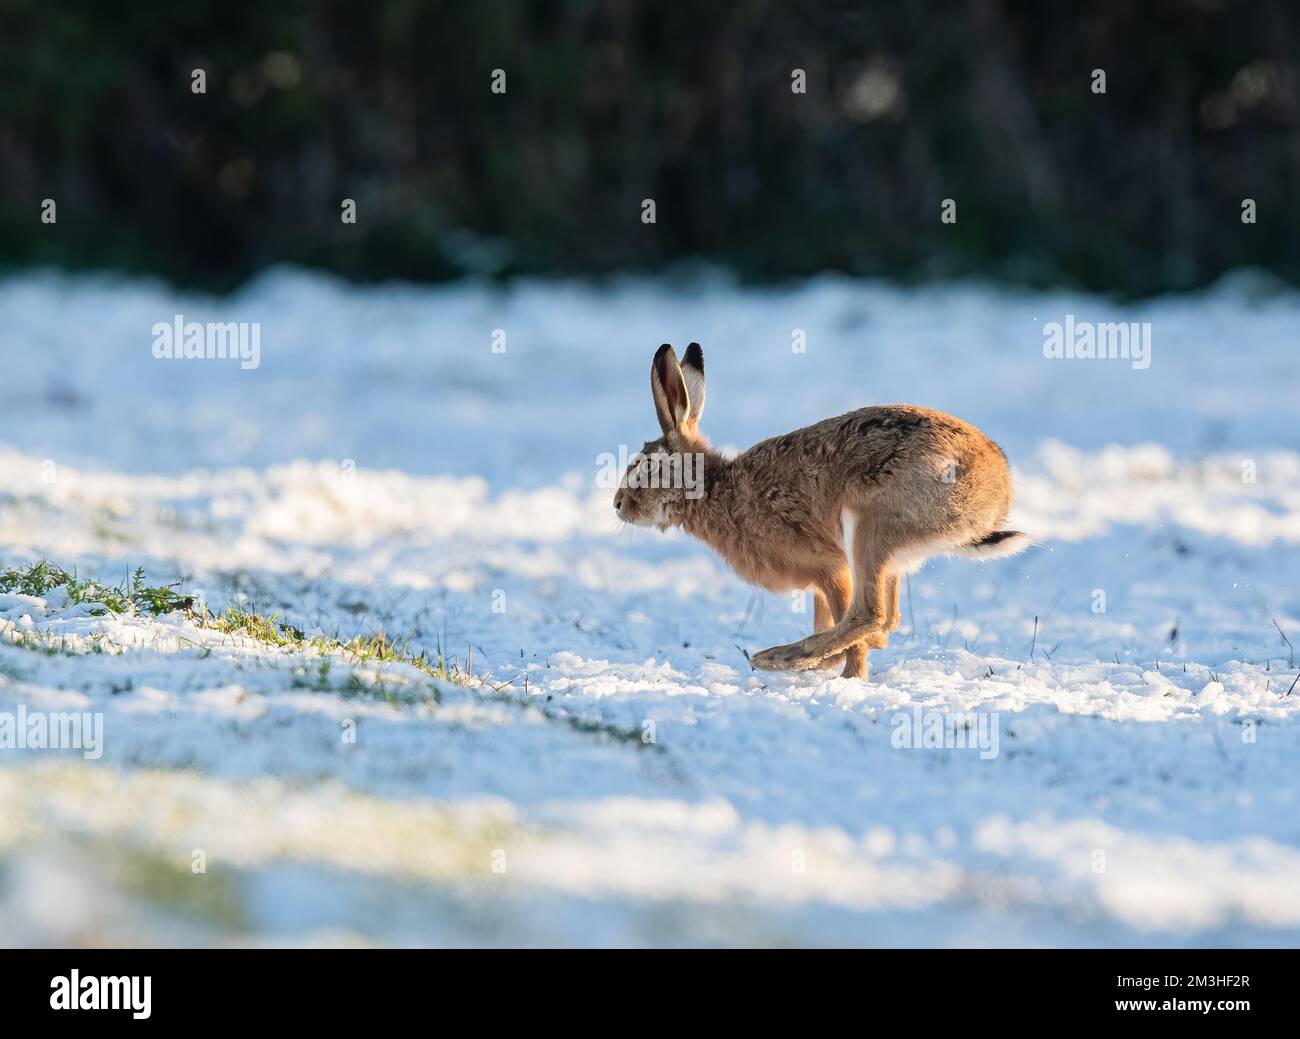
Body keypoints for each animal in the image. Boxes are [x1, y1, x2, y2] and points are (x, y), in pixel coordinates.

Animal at [613, 343, 1030, 680]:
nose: (618, 505)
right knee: (887, 618)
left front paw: (850, 677)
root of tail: (992, 494)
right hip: (889, 553)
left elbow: (844, 616)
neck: (715, 487)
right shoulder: (819, 581)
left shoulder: (828, 567)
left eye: (643, 468)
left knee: (870, 614)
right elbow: (826, 618)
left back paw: (778, 658)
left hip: (868, 524)